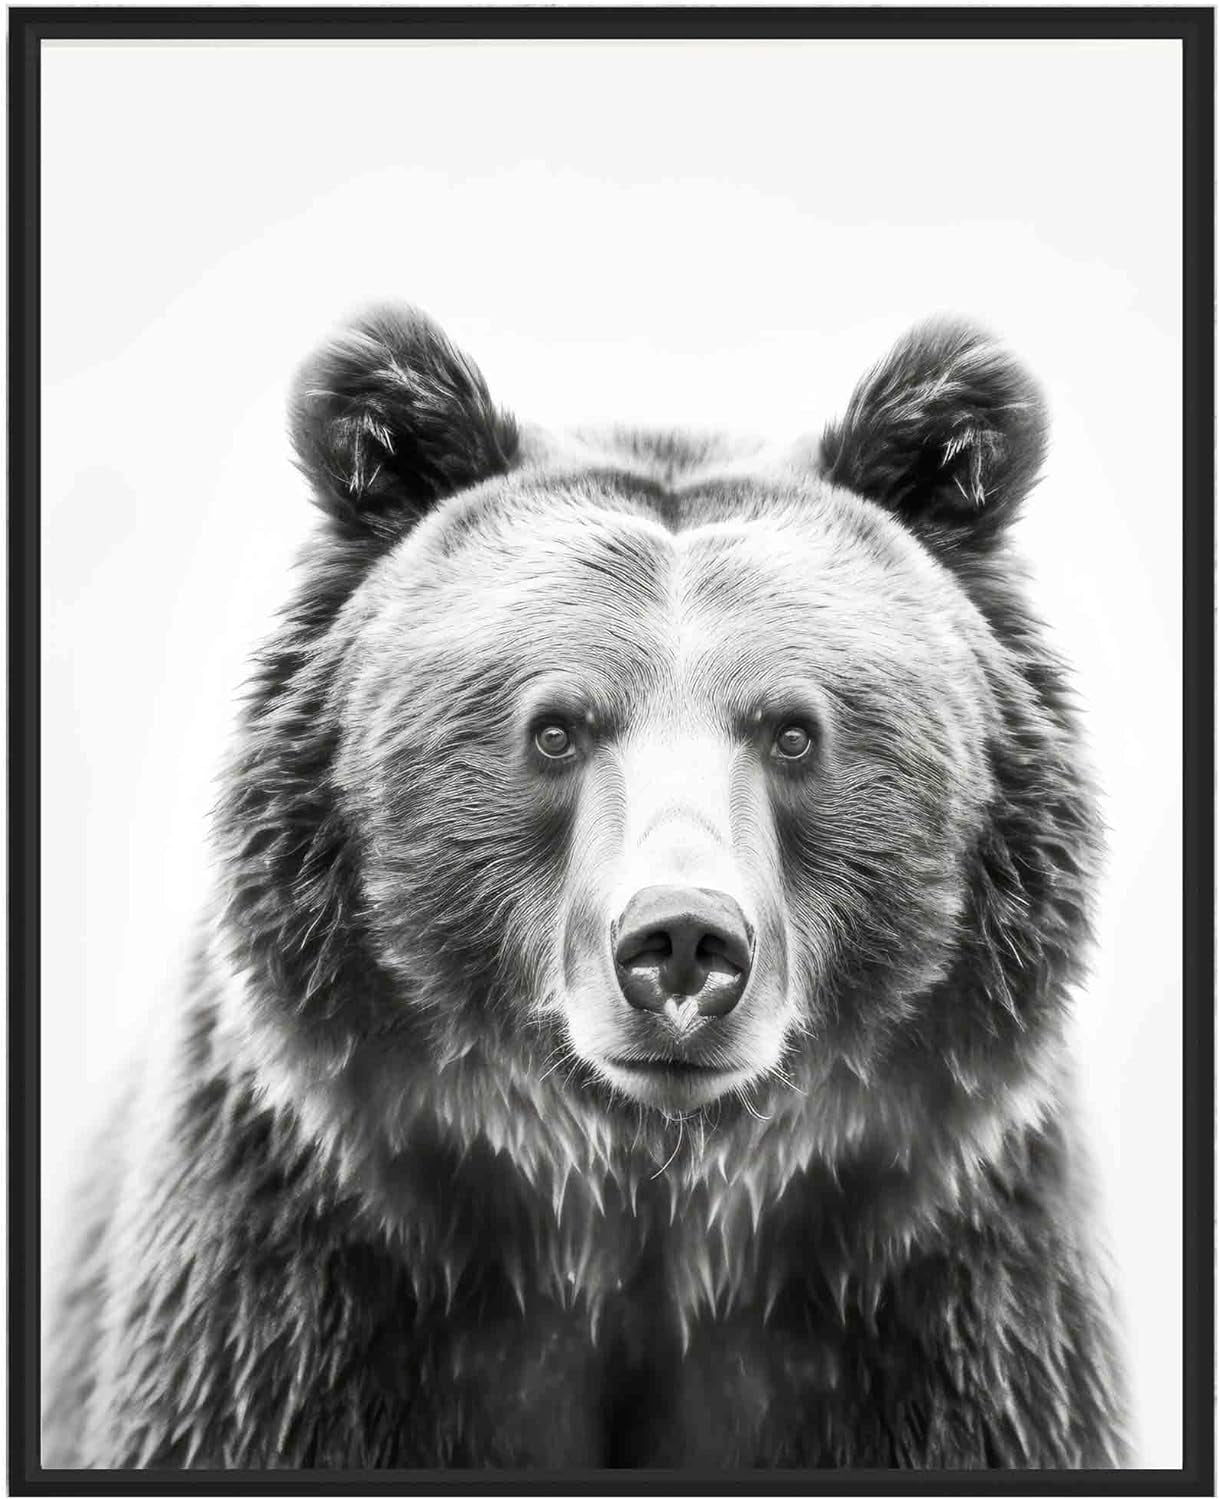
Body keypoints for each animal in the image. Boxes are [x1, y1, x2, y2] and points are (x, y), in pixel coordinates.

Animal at [43, 307, 1128, 1470]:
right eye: (555, 728)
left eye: (794, 731)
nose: (683, 945)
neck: (640, 1225)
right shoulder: (294, 1307)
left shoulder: (953, 1320)